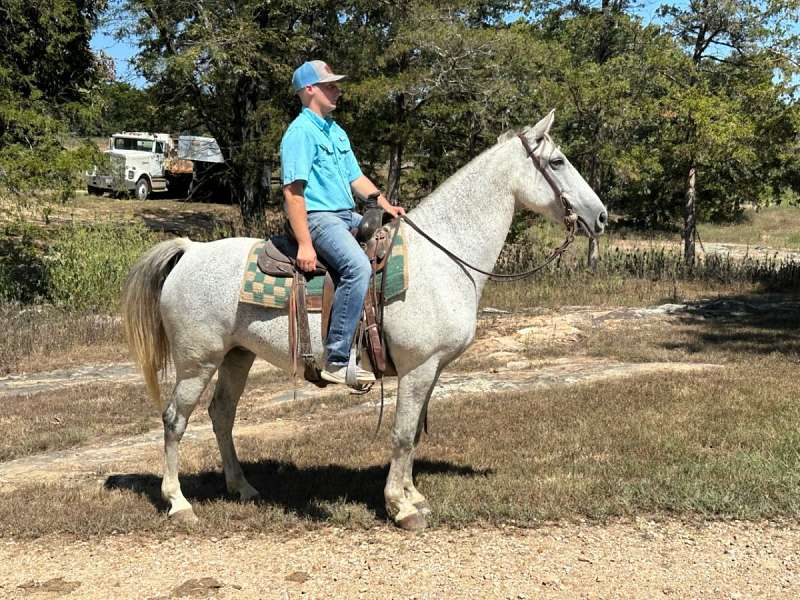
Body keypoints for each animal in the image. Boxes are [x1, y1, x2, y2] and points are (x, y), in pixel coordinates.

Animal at [121, 110, 607, 530]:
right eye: (558, 162)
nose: (600, 216)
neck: (442, 257)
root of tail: (190, 251)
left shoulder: (430, 370)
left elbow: (413, 436)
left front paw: (413, 496)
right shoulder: (419, 367)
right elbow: (403, 434)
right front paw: (400, 507)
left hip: (237, 356)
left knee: (221, 415)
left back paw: (243, 488)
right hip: (196, 361)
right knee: (174, 420)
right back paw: (179, 503)